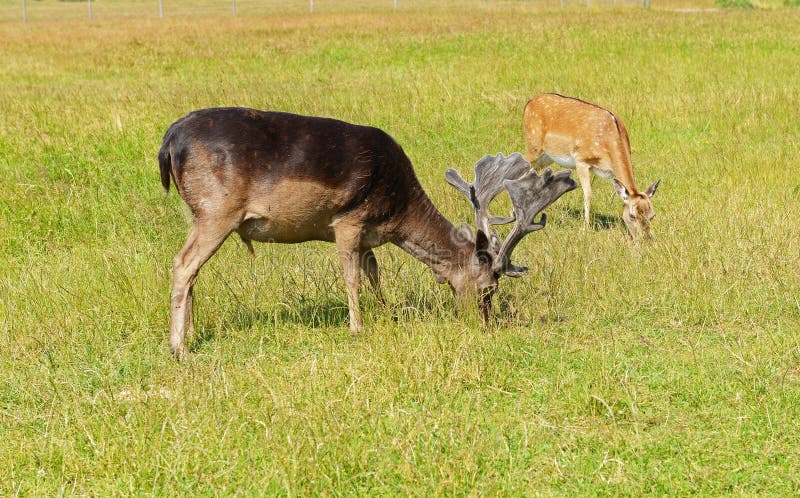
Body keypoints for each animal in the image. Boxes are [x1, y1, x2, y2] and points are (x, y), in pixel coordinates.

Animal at [159, 107, 576, 359]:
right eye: (489, 286)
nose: (485, 322)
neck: (395, 210)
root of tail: (169, 142)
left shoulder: (367, 235)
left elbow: (374, 271)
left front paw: (387, 313)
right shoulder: (348, 219)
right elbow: (351, 276)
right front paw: (357, 328)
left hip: (196, 213)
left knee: (192, 270)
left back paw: (191, 333)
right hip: (217, 210)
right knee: (182, 264)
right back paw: (179, 347)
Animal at [523, 93, 660, 239]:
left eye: (652, 216)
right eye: (632, 216)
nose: (646, 238)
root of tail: (529, 103)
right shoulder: (581, 160)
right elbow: (588, 194)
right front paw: (585, 230)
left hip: (546, 158)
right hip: (533, 146)